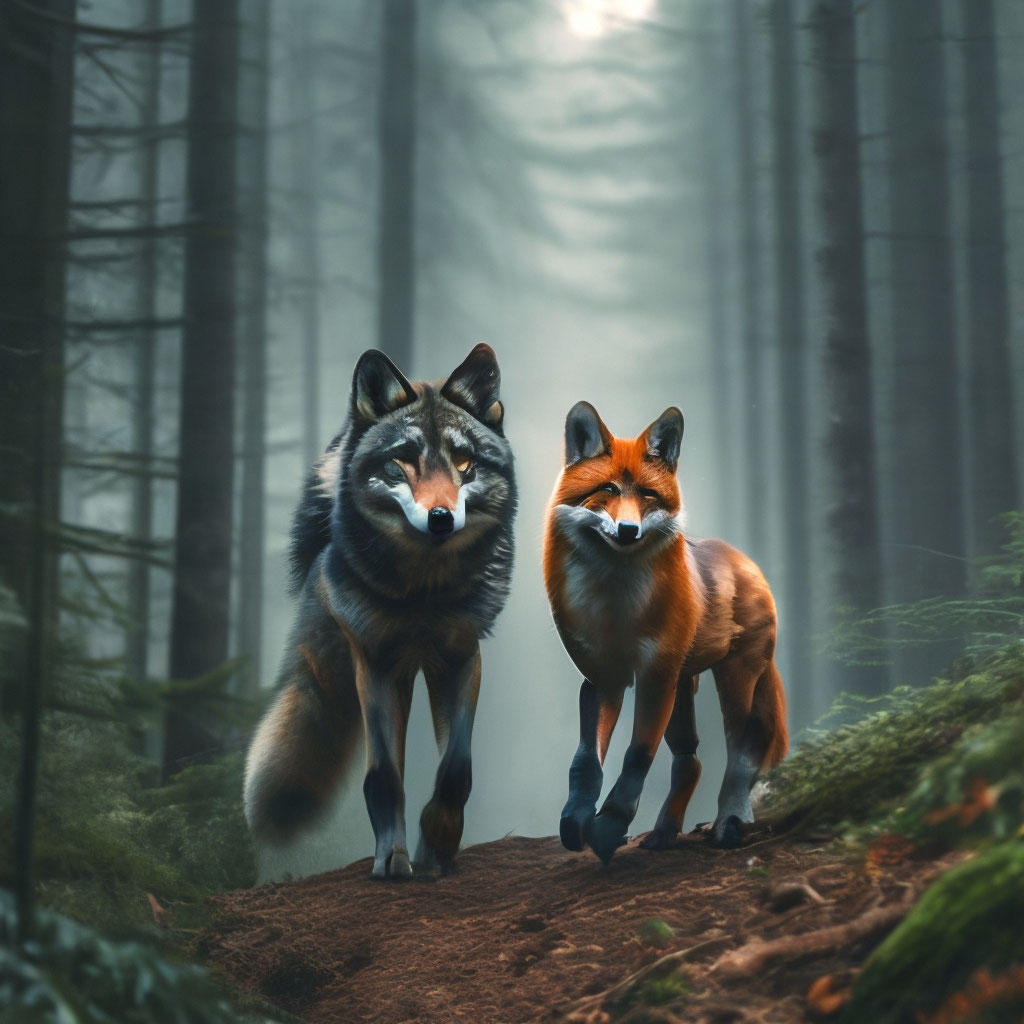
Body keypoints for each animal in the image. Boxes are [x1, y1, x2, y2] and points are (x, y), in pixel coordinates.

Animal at [244, 344, 517, 879]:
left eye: (464, 462)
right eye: (403, 461)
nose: (440, 518)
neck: (423, 595)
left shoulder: (460, 657)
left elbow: (456, 770)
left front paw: (438, 844)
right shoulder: (377, 664)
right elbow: (384, 776)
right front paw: (393, 859)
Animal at [543, 401, 788, 863]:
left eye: (647, 495)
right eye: (607, 490)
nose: (628, 531)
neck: (617, 608)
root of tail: (746, 560)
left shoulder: (654, 676)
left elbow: (637, 756)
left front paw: (608, 825)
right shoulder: (603, 678)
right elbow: (585, 761)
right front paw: (576, 820)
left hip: (730, 679)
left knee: (744, 747)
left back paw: (729, 822)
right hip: (683, 685)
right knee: (691, 759)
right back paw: (663, 832)